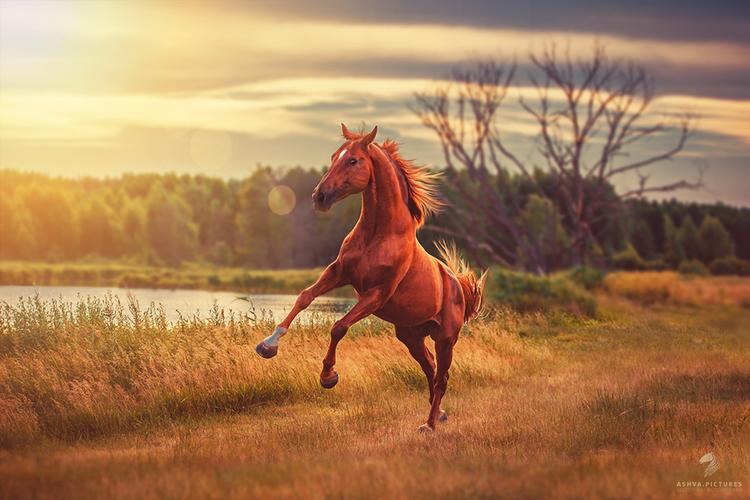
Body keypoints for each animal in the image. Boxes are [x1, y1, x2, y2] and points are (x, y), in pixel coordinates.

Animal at [256, 123, 487, 431]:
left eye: (353, 160)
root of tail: (458, 284)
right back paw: (438, 414)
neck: (379, 235)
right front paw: (268, 345)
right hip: (411, 337)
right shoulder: (338, 272)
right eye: (333, 156)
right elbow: (305, 297)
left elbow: (339, 327)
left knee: (442, 377)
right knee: (430, 369)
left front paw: (328, 376)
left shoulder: (376, 294)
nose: (319, 197)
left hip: (445, 339)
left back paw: (429, 424)